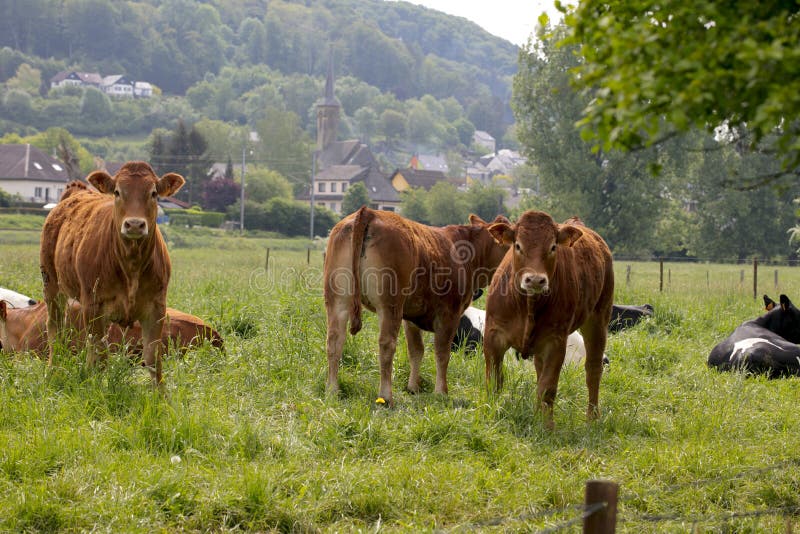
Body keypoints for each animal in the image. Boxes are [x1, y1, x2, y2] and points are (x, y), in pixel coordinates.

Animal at [39, 162, 184, 385]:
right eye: (117, 192)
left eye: (153, 193)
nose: (135, 224)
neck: (131, 265)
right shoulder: (93, 305)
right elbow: (99, 355)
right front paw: (96, 388)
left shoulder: (157, 307)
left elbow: (152, 358)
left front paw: (159, 394)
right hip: (52, 285)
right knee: (56, 327)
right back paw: (53, 370)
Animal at [323, 206, 510, 404]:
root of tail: (368, 212)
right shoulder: (449, 314)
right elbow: (442, 353)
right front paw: (441, 392)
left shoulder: (412, 316)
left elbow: (416, 350)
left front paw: (413, 387)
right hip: (390, 306)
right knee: (386, 344)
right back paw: (385, 396)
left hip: (338, 301)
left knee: (334, 341)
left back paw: (332, 390)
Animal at [482, 212, 614, 429]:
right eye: (518, 245)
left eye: (553, 247)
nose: (535, 280)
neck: (527, 304)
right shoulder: (493, 336)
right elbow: (494, 381)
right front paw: (492, 411)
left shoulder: (555, 342)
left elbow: (547, 388)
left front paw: (547, 425)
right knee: (539, 368)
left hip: (599, 319)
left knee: (593, 368)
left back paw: (593, 417)